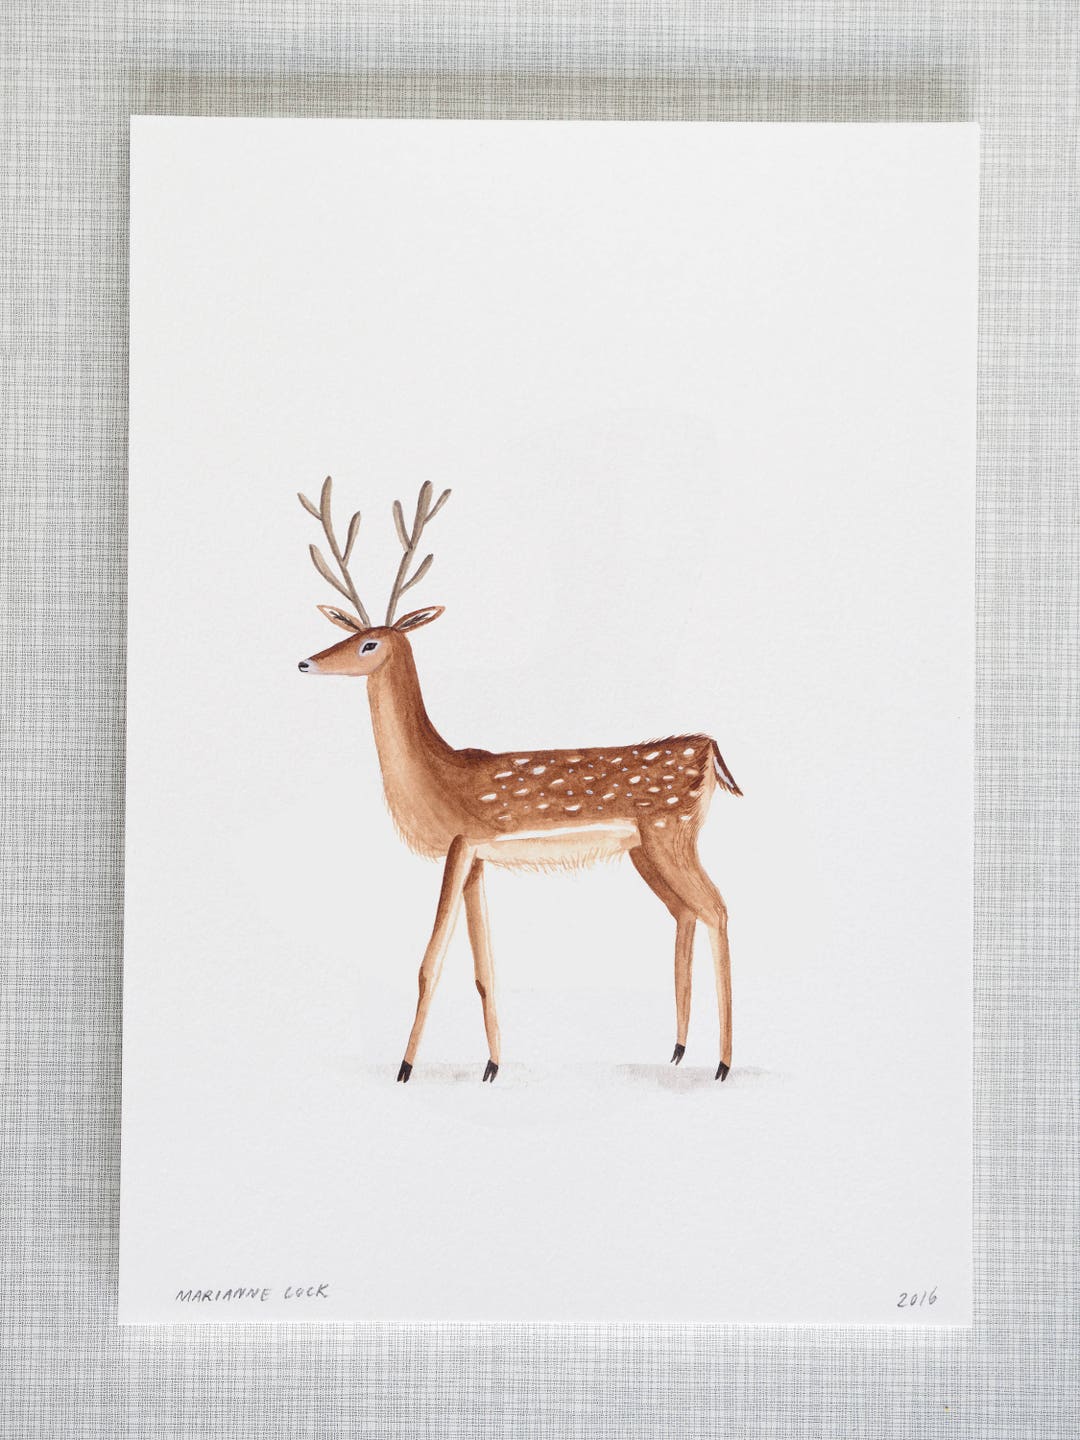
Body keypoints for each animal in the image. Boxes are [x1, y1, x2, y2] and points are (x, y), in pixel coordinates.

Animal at [297, 478, 742, 1084]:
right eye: (351, 632)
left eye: (371, 644)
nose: (305, 663)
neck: (437, 775)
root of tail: (710, 748)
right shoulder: (478, 855)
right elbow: (483, 967)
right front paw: (491, 1065)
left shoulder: (459, 842)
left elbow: (430, 962)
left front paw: (405, 1068)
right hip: (645, 847)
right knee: (686, 912)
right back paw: (676, 1050)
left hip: (671, 832)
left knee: (718, 908)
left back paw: (721, 1063)